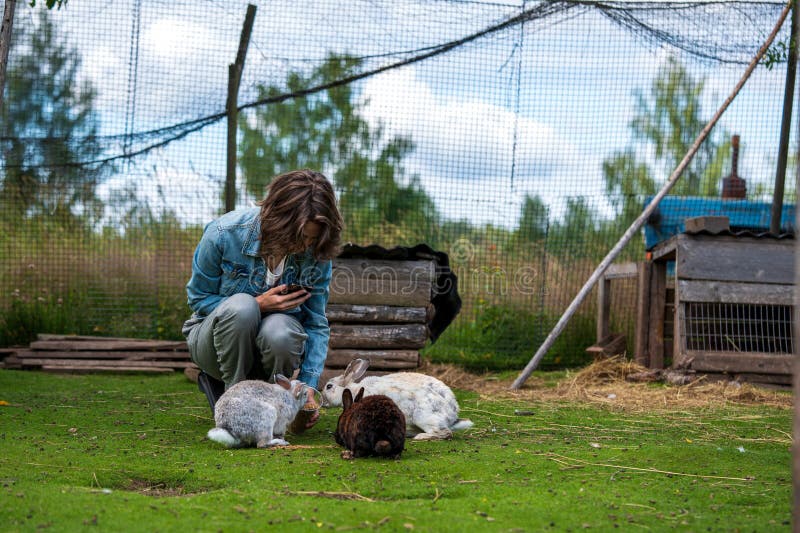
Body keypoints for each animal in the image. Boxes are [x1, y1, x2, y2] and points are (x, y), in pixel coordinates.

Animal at [322, 358, 473, 441]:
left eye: (329, 386)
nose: (323, 402)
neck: (354, 390)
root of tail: (452, 415)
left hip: (424, 417)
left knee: (445, 433)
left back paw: (420, 437)